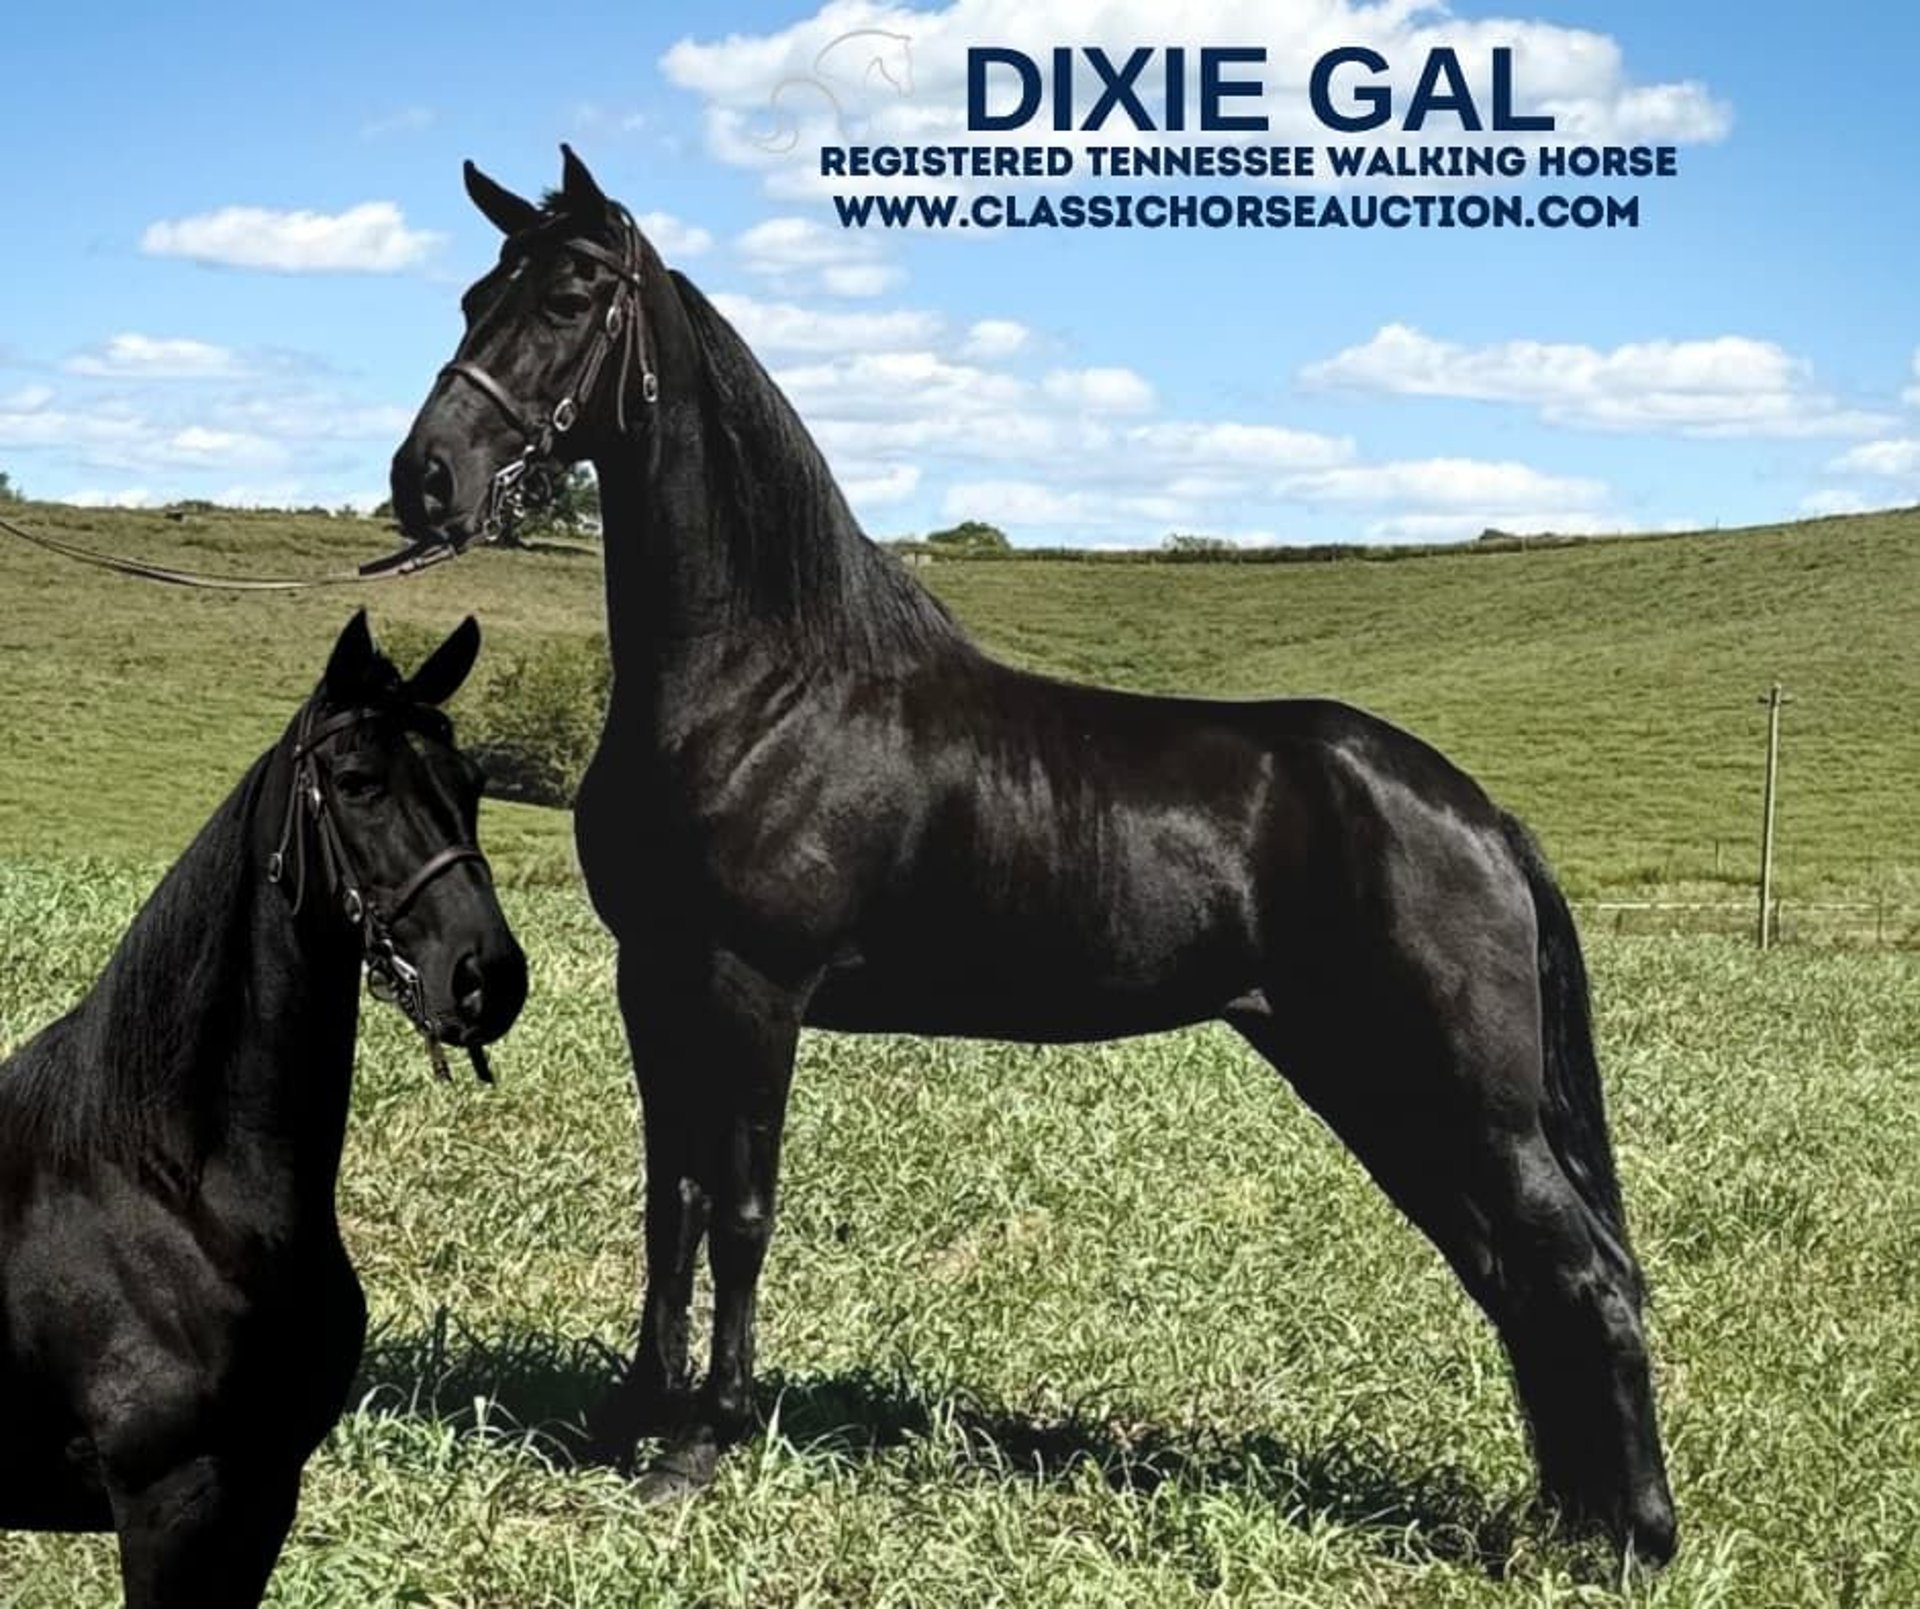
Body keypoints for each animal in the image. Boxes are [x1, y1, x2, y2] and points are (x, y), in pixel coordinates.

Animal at [0, 611, 527, 1606]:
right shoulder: (172, 1502)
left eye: (471, 784)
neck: (168, 1187)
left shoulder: (264, 1492)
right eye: (358, 783)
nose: (488, 976)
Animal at [387, 146, 1676, 1564]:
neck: (765, 681)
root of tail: (1484, 819)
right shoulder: (654, 982)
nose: (426, 478)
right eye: (471, 295)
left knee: (1581, 1271)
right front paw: (627, 1421)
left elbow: (738, 1210)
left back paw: (1632, 1535)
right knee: (1516, 1272)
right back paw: (1567, 1516)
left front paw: (701, 1443)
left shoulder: (750, 990)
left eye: (568, 296)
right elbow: (668, 1204)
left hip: (1456, 1092)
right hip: (1376, 1079)